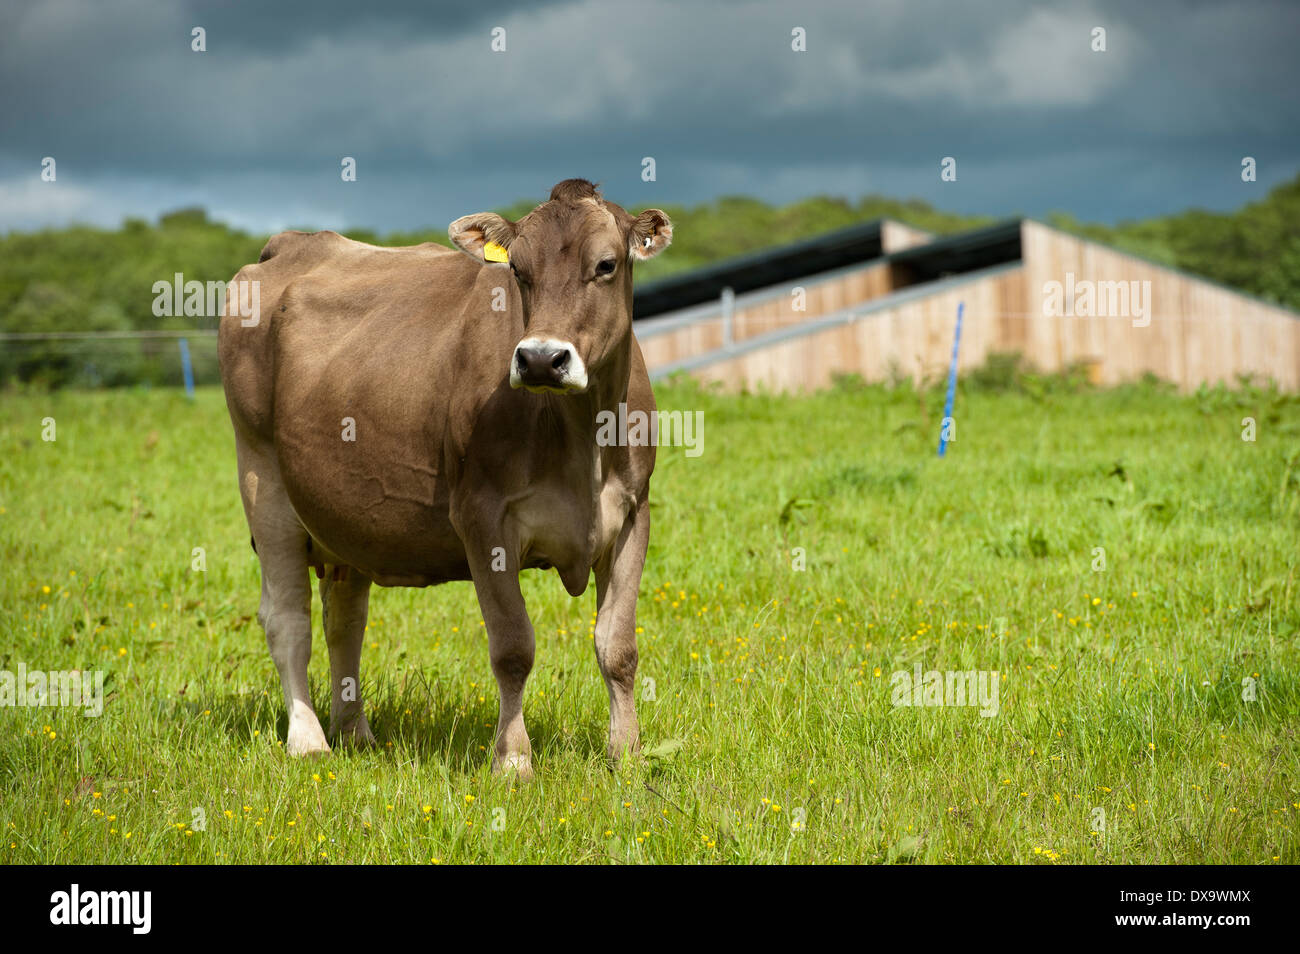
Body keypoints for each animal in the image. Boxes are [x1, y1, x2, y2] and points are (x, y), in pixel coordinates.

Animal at [217, 179, 672, 778]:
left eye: (606, 264)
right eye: (518, 271)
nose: (541, 359)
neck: (580, 440)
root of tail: (293, 243)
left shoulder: (632, 514)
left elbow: (618, 648)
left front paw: (628, 755)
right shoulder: (482, 518)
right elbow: (513, 648)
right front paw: (513, 760)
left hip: (348, 516)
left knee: (345, 620)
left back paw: (355, 731)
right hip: (262, 479)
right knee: (288, 620)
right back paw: (309, 738)